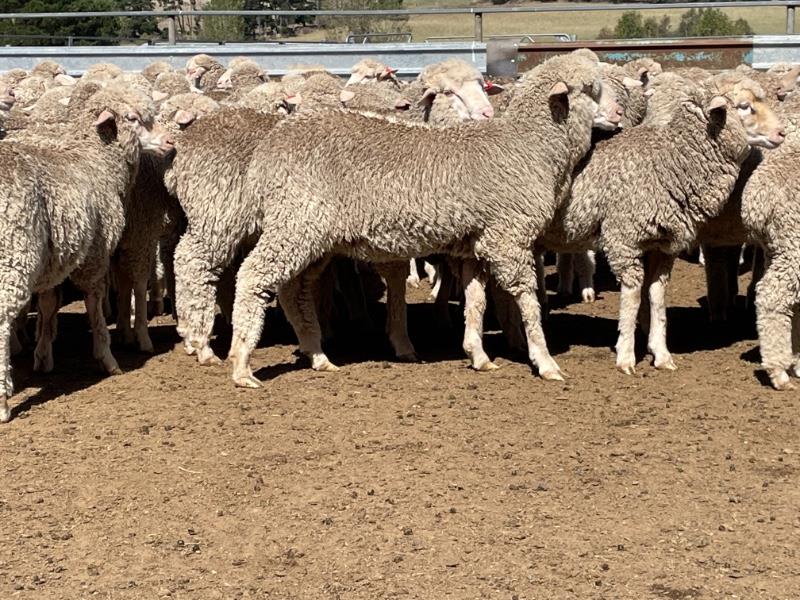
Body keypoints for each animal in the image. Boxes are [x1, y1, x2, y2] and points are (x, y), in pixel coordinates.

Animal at [0, 82, 175, 422]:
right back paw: (2, 400)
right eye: (132, 118)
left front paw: (43, 356)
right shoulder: (96, 252)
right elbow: (94, 304)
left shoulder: (56, 258)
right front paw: (107, 357)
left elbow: (49, 304)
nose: (170, 141)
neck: (93, 160)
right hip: (13, 256)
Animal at [222, 50, 612, 388]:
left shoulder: (475, 244)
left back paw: (317, 354)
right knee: (254, 275)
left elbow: (476, 300)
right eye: (591, 88)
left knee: (293, 290)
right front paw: (545, 361)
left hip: (313, 237)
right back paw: (242, 362)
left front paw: (478, 355)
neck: (528, 146)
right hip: (297, 222)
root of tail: (269, 148)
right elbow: (526, 299)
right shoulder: (506, 238)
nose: (619, 113)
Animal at [561, 71, 784, 376]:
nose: (781, 132)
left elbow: (656, 296)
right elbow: (632, 299)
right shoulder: (623, 240)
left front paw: (661, 353)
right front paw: (626, 356)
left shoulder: (662, 246)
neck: (668, 161)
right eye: (744, 106)